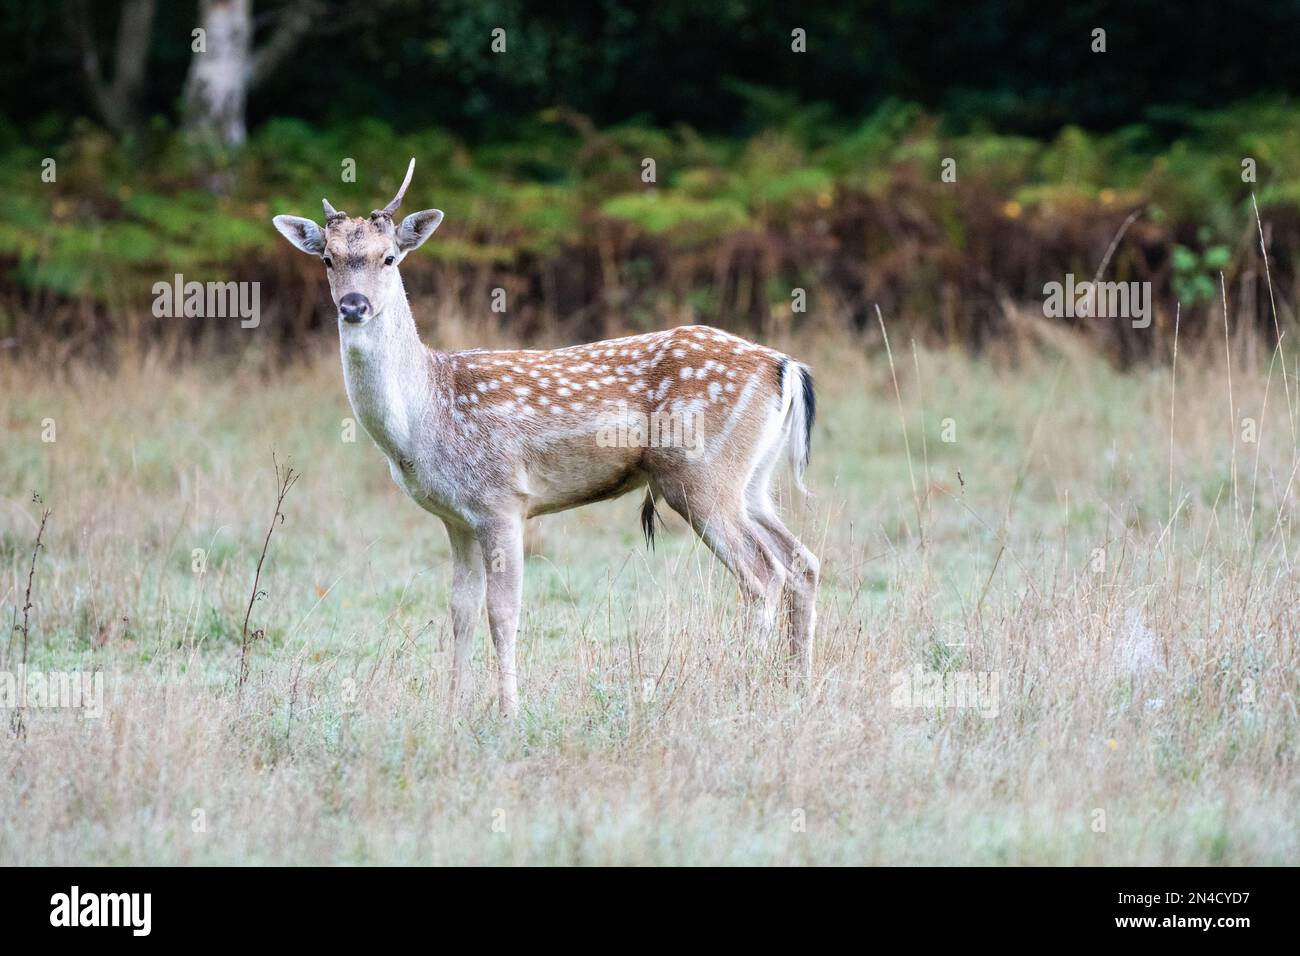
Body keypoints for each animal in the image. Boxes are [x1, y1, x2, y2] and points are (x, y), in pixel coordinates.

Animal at [272, 159, 819, 718]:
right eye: (328, 258)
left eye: (389, 257)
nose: (353, 305)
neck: (427, 416)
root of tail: (785, 366)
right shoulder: (455, 518)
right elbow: (461, 610)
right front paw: (452, 711)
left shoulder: (500, 501)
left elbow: (503, 613)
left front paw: (509, 712)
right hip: (751, 481)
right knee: (803, 562)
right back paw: (794, 685)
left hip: (701, 476)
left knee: (763, 575)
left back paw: (742, 689)